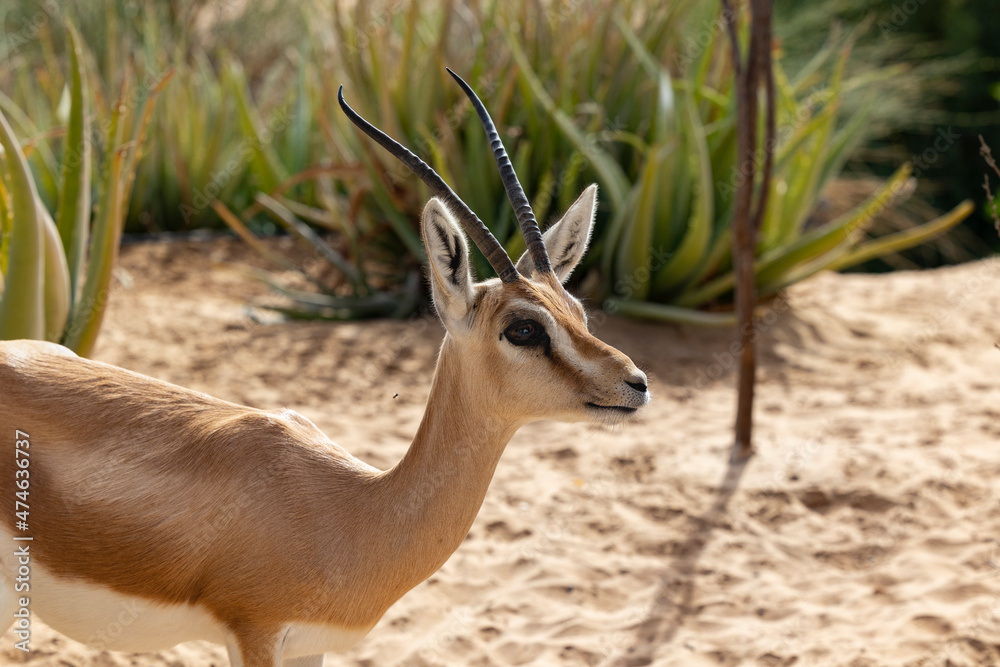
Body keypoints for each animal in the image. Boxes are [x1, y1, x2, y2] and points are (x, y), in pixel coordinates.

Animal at [0, 70, 649, 667]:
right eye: (523, 329)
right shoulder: (255, 636)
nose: (636, 384)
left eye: (577, 310)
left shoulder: (307, 648)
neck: (352, 512)